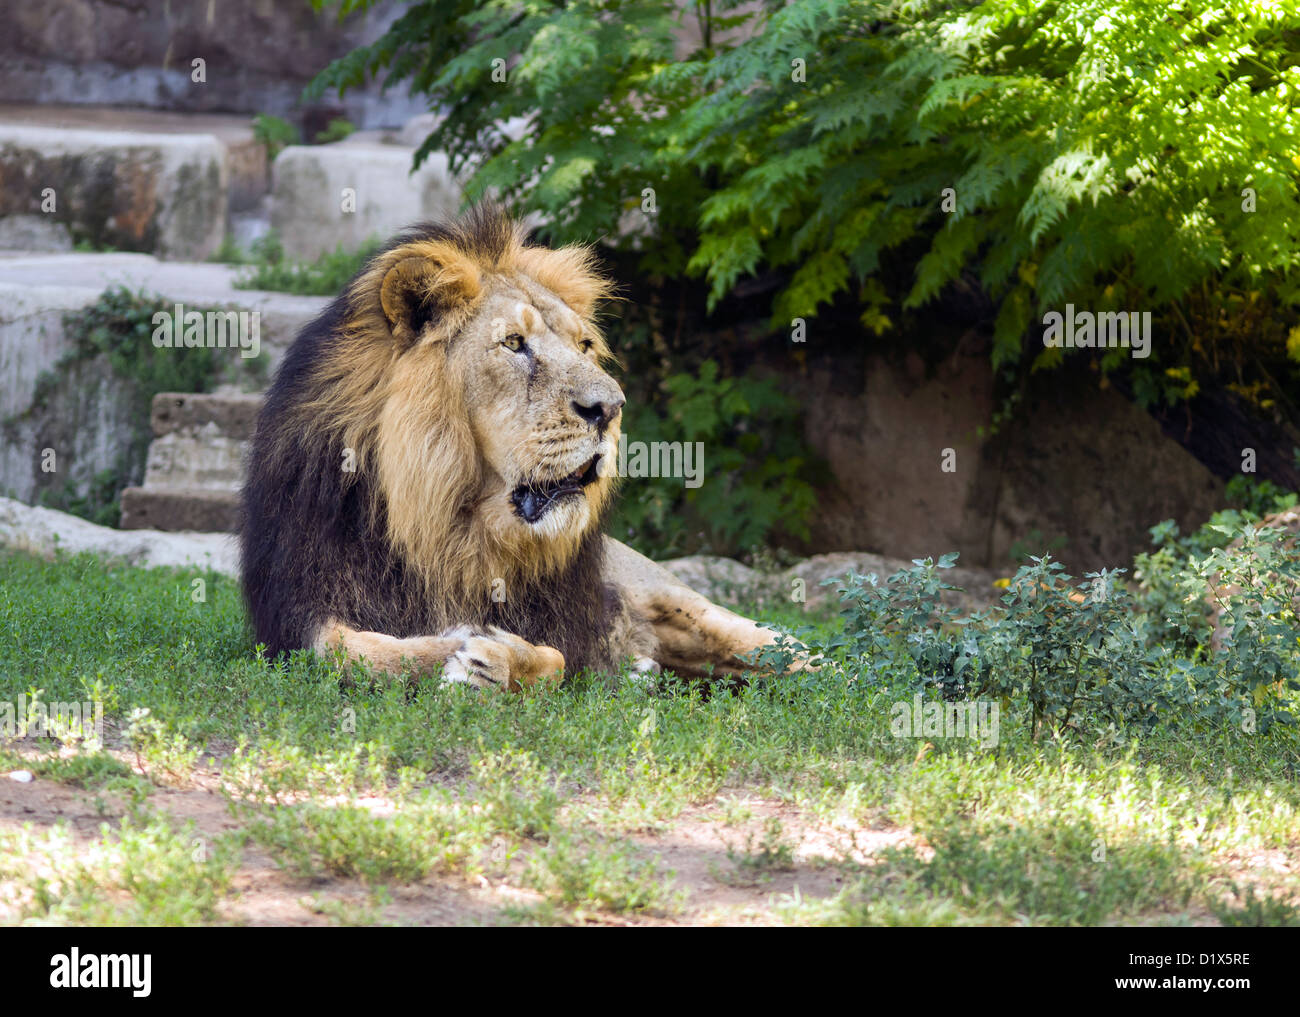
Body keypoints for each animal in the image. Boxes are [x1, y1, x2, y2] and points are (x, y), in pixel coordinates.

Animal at [240, 205, 789, 691]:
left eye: (584, 346)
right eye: (513, 343)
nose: (611, 407)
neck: (447, 529)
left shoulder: (565, 631)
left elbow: (556, 660)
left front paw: (494, 660)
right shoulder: (298, 613)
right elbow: (352, 651)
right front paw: (455, 649)